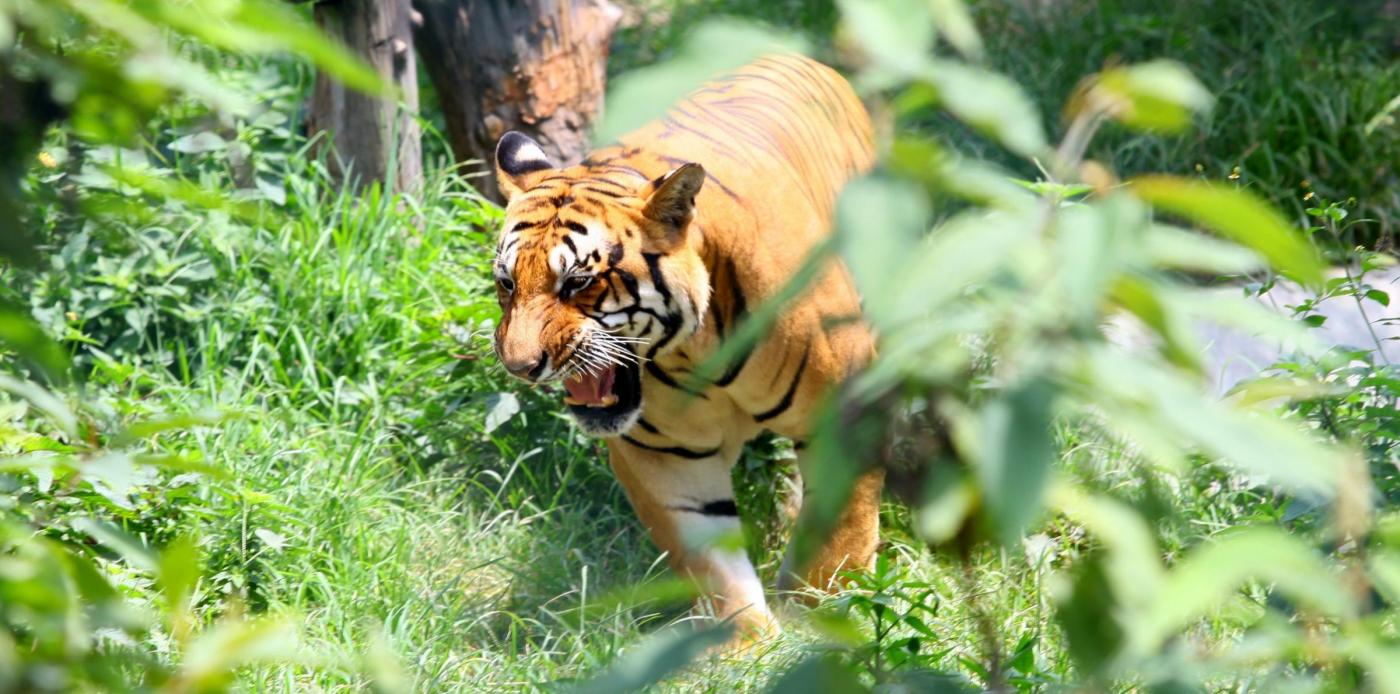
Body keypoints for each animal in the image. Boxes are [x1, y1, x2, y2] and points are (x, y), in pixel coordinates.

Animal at [489, 54, 882, 637]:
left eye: (578, 283)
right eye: (507, 282)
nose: (520, 366)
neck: (695, 352)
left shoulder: (847, 406)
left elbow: (844, 528)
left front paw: (825, 613)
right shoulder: (666, 454)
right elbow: (710, 558)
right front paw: (744, 642)